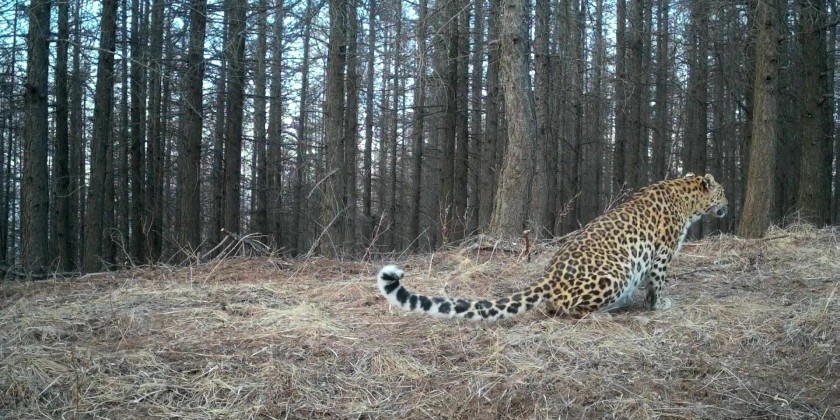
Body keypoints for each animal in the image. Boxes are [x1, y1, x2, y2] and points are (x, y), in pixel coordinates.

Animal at [376, 173, 728, 321]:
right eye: (723, 192)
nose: (729, 204)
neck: (687, 199)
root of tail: (549, 278)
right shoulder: (662, 252)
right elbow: (656, 283)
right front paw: (658, 304)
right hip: (617, 271)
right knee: (569, 309)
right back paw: (606, 314)